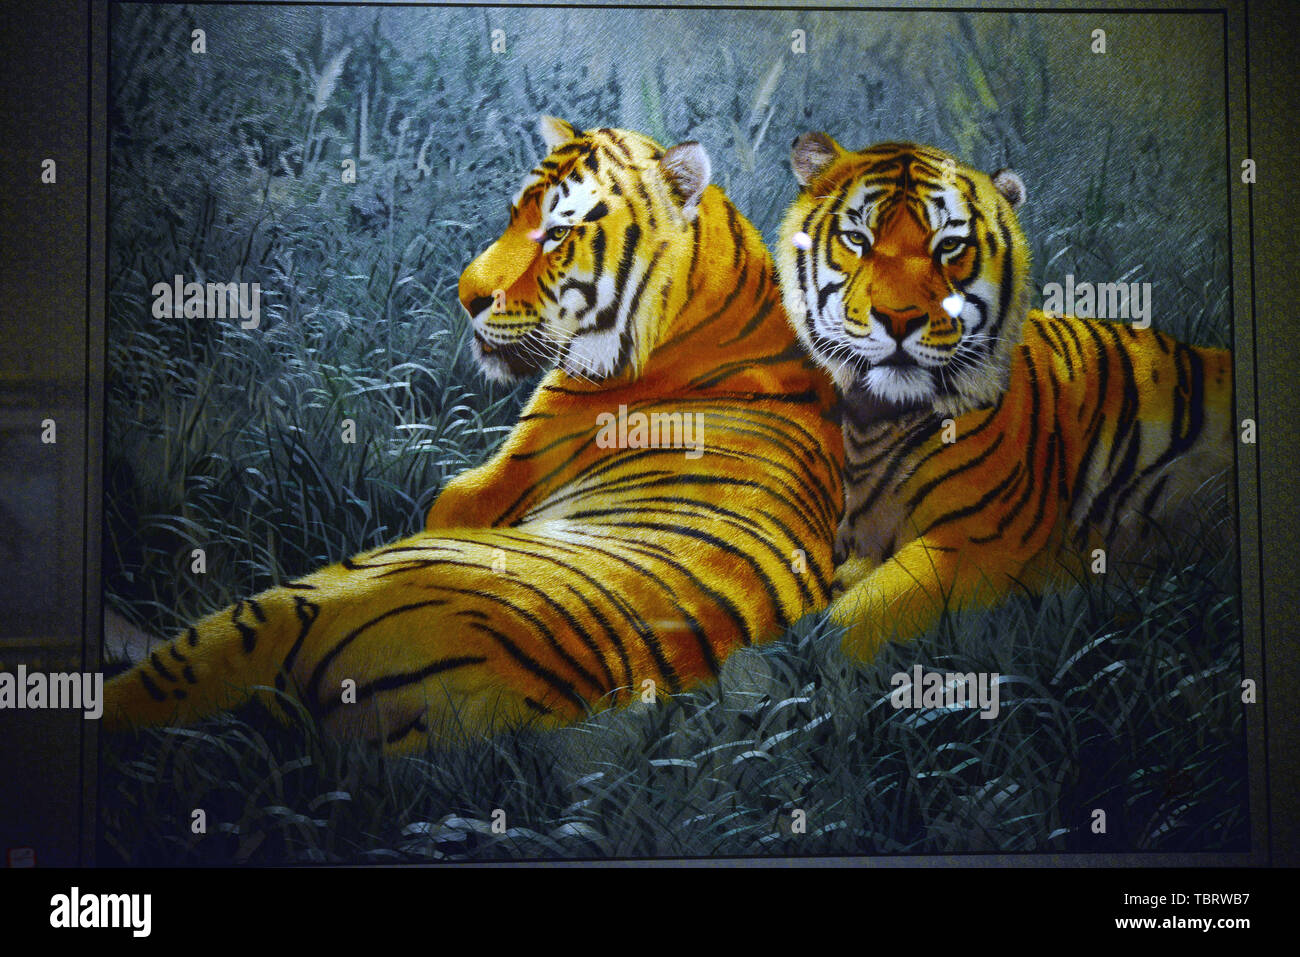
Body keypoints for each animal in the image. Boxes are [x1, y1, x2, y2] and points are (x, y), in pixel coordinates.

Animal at [775, 133, 1234, 660]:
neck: (877, 423)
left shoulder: (978, 540)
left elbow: (842, 629)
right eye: (858, 240)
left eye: (949, 245)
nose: (898, 317)